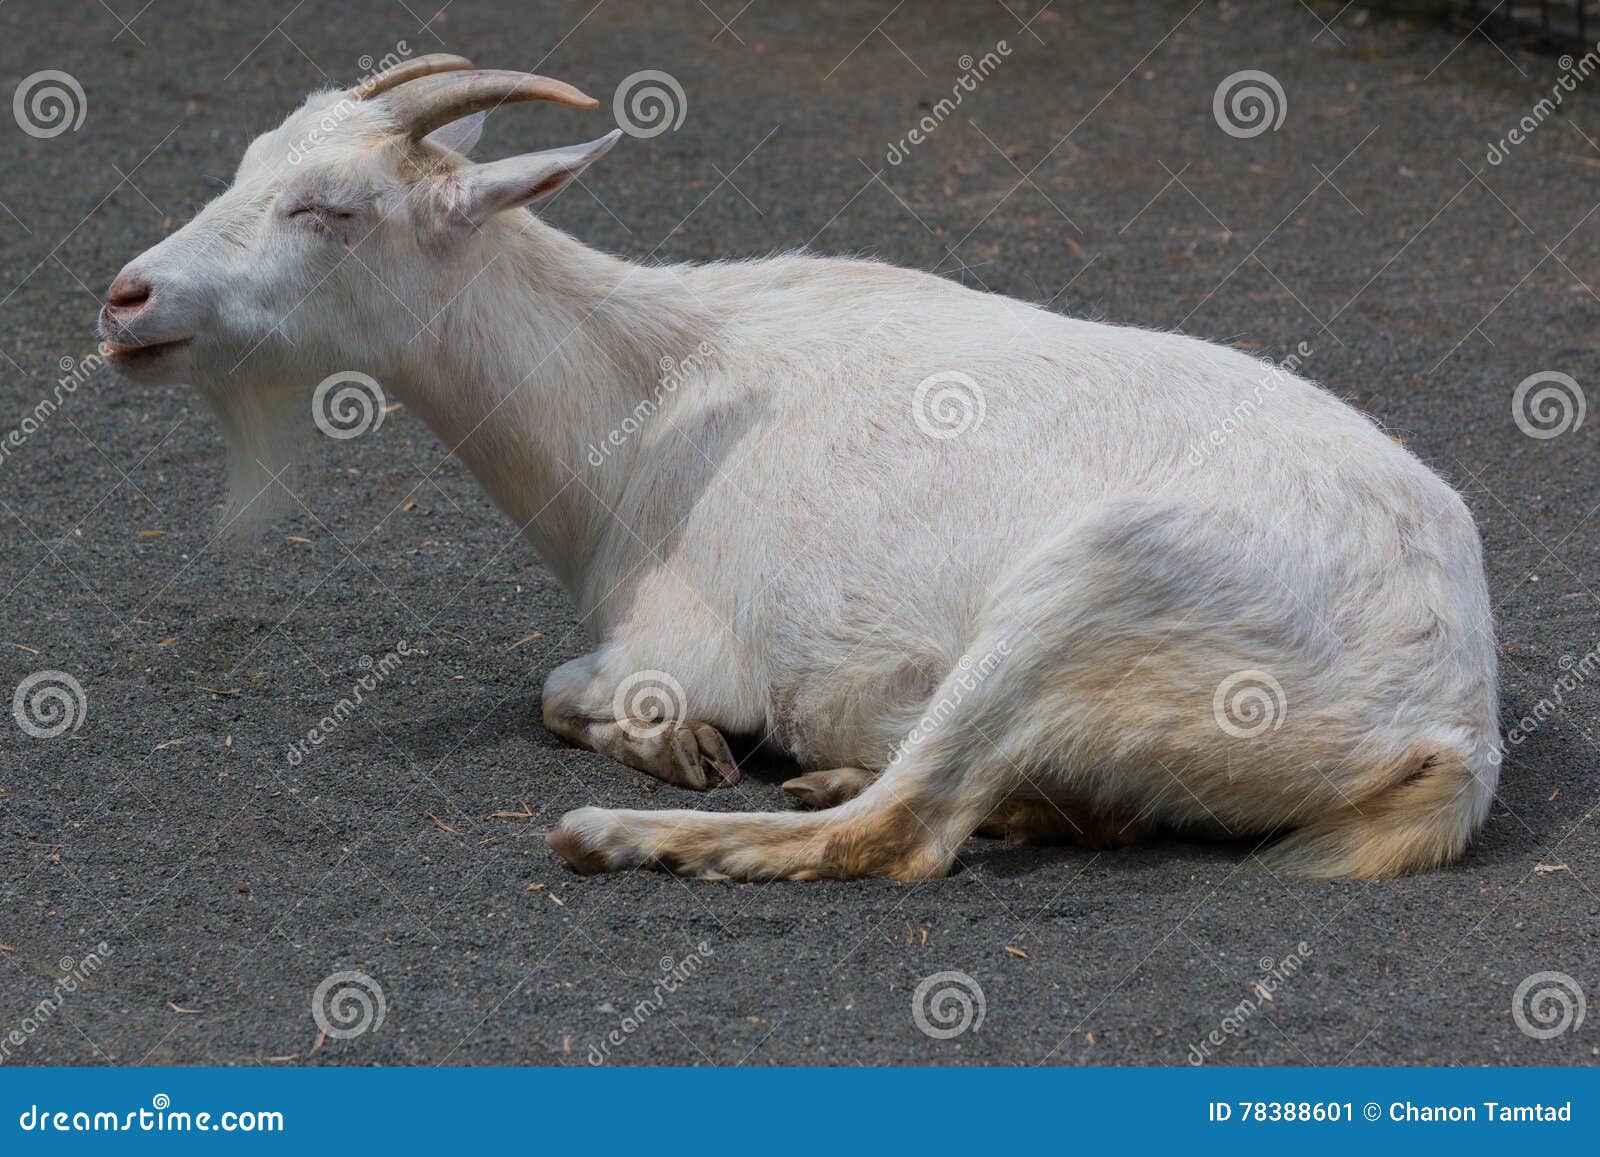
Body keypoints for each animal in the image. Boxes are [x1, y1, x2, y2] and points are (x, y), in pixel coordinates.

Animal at [101, 55, 1500, 882]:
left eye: (328, 210)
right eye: (248, 169)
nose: (126, 299)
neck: (649, 398)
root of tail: (1450, 726)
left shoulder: (687, 636)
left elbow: (562, 689)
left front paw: (670, 742)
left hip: (1097, 579)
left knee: (902, 833)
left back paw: (632, 833)